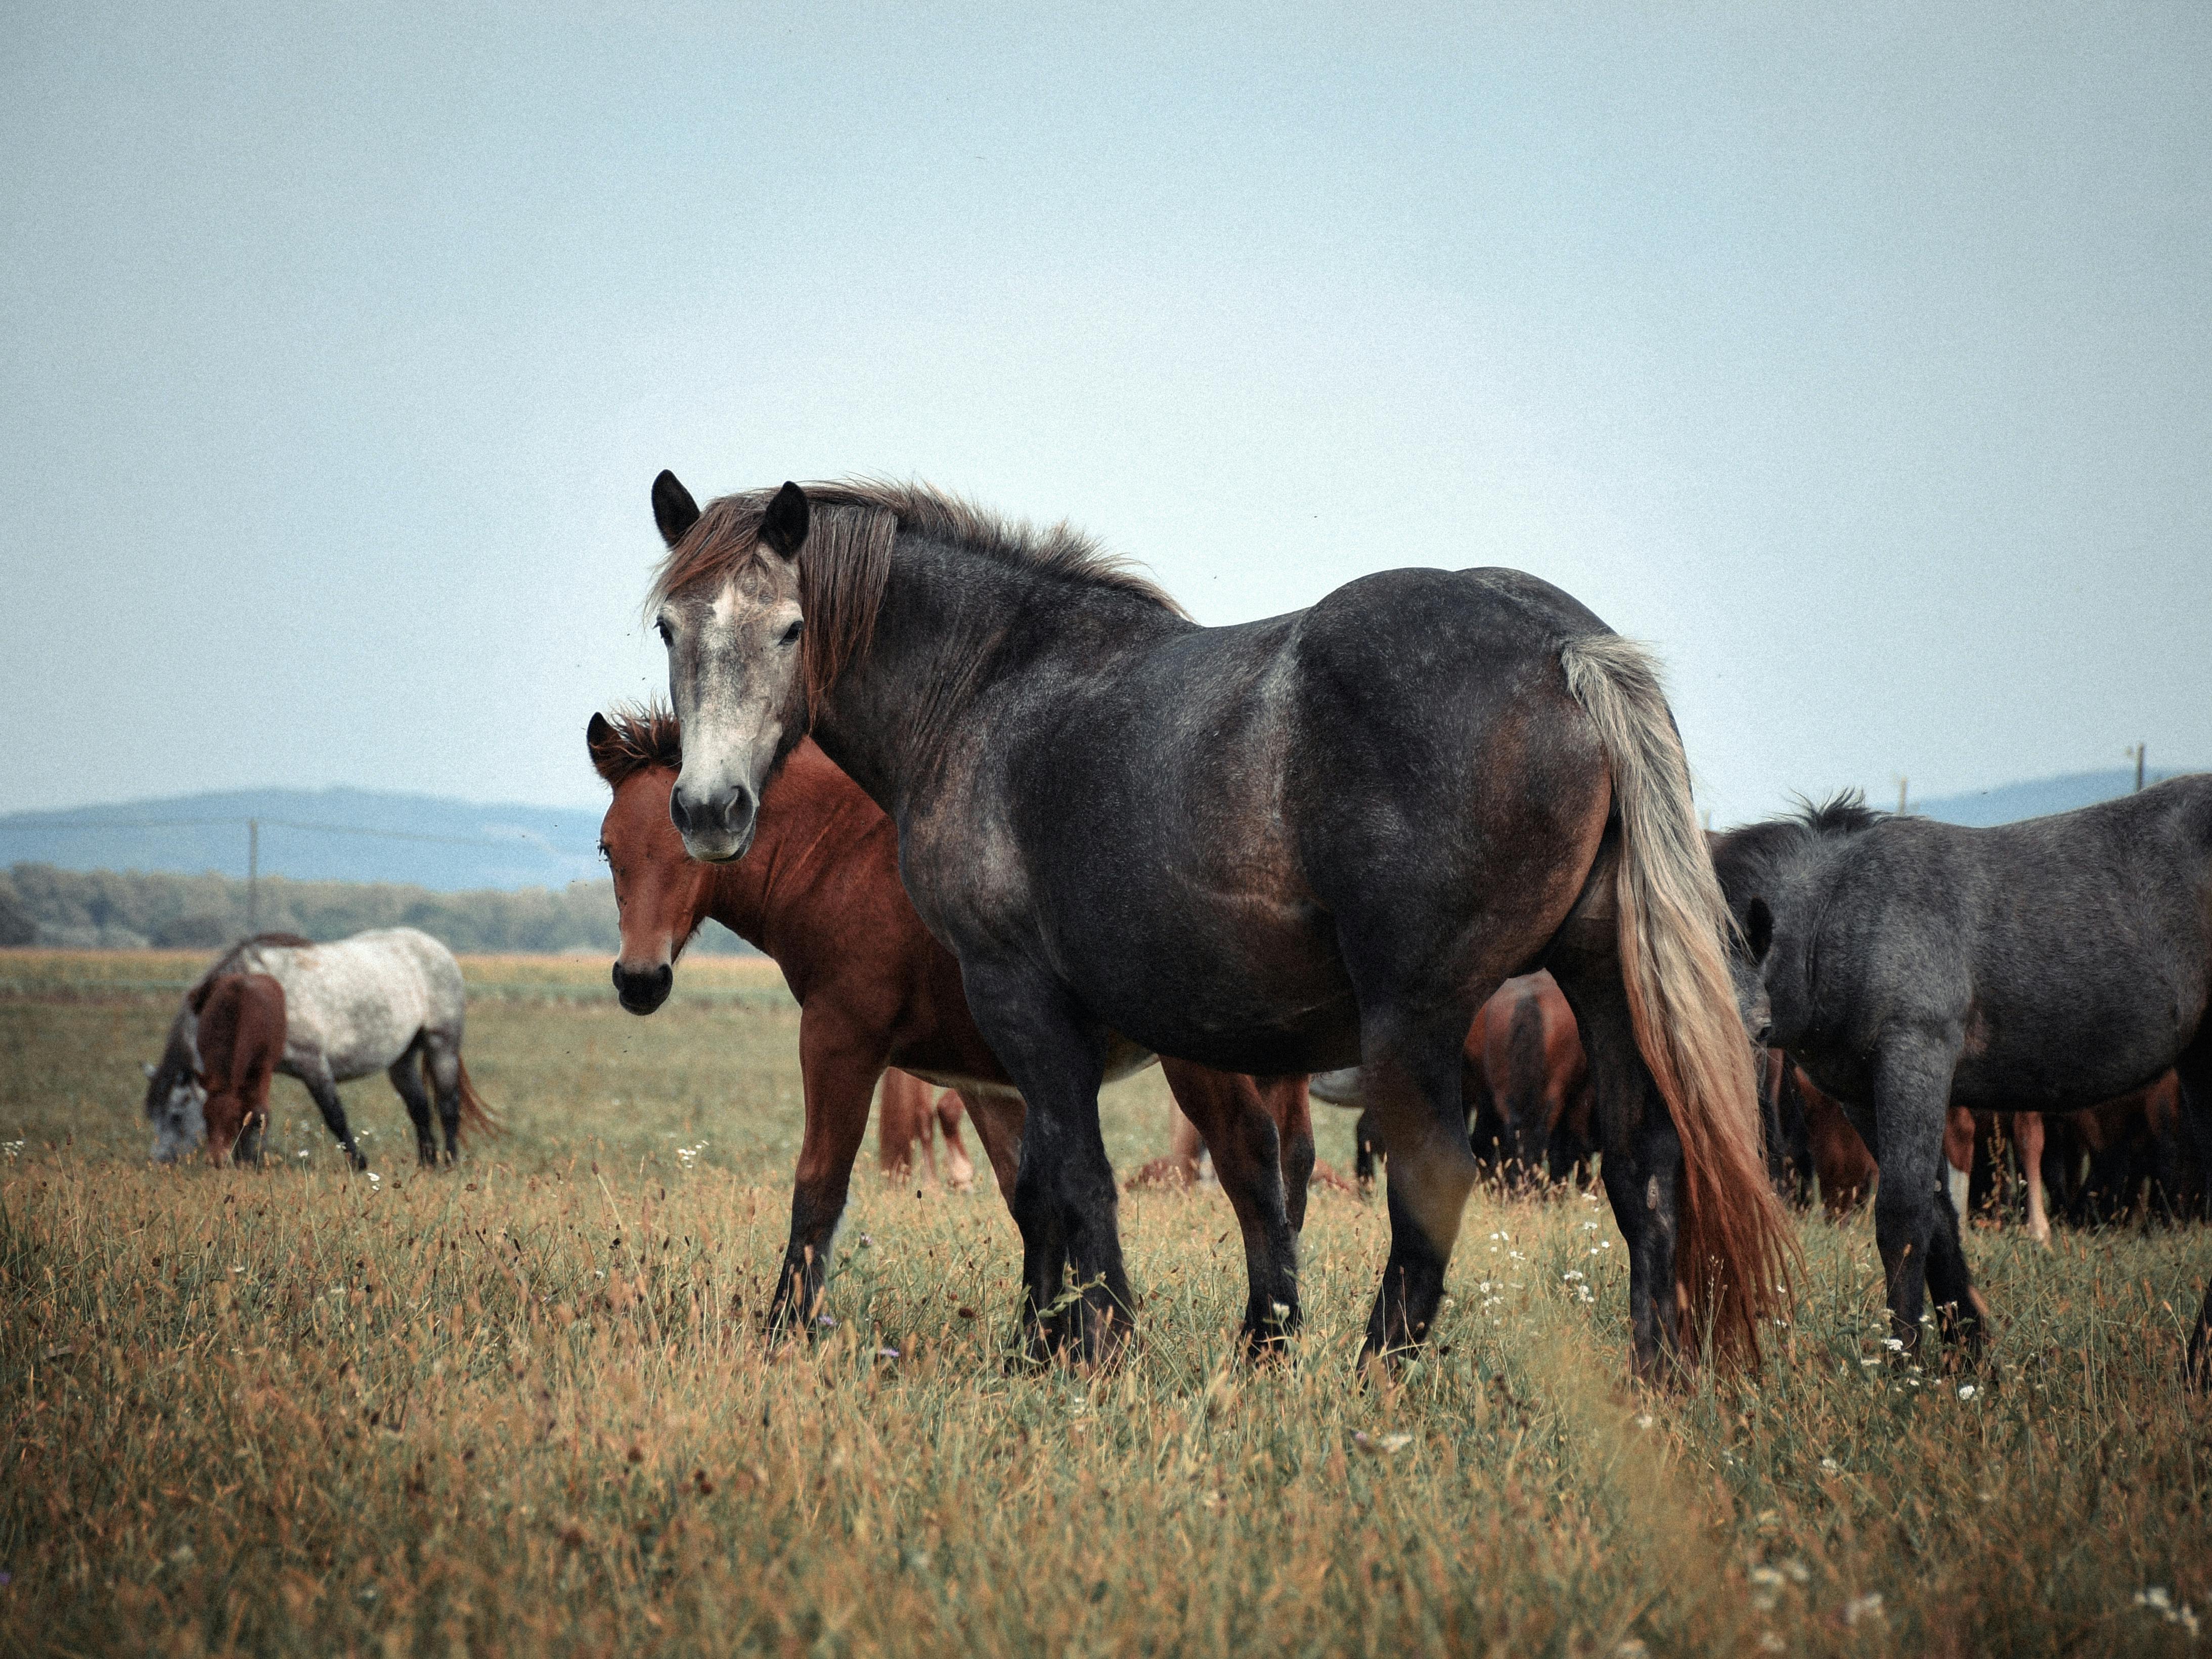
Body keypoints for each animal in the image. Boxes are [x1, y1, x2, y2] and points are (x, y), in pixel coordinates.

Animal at [190, 972, 286, 1166]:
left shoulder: (263, 1070)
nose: (216, 1160)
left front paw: (247, 1160)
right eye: (206, 1116)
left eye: (234, 1119)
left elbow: (258, 1112)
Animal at [587, 706, 1318, 1349]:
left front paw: (783, 1331)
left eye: (691, 848)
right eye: (608, 848)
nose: (639, 979)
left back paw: (1267, 1338)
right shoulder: (987, 1080)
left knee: (1250, 1155)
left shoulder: (840, 1036)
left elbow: (820, 1182)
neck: (839, 854)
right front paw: (1041, 1345)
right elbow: (1032, 1200)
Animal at [1710, 784, 2212, 1374]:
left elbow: (1904, 1215)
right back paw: (2197, 1366)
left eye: (1761, 1029)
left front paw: (1903, 1366)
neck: (1843, 910)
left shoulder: (1915, 1059)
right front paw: (1970, 1358)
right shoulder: (1865, 1096)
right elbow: (1940, 1217)